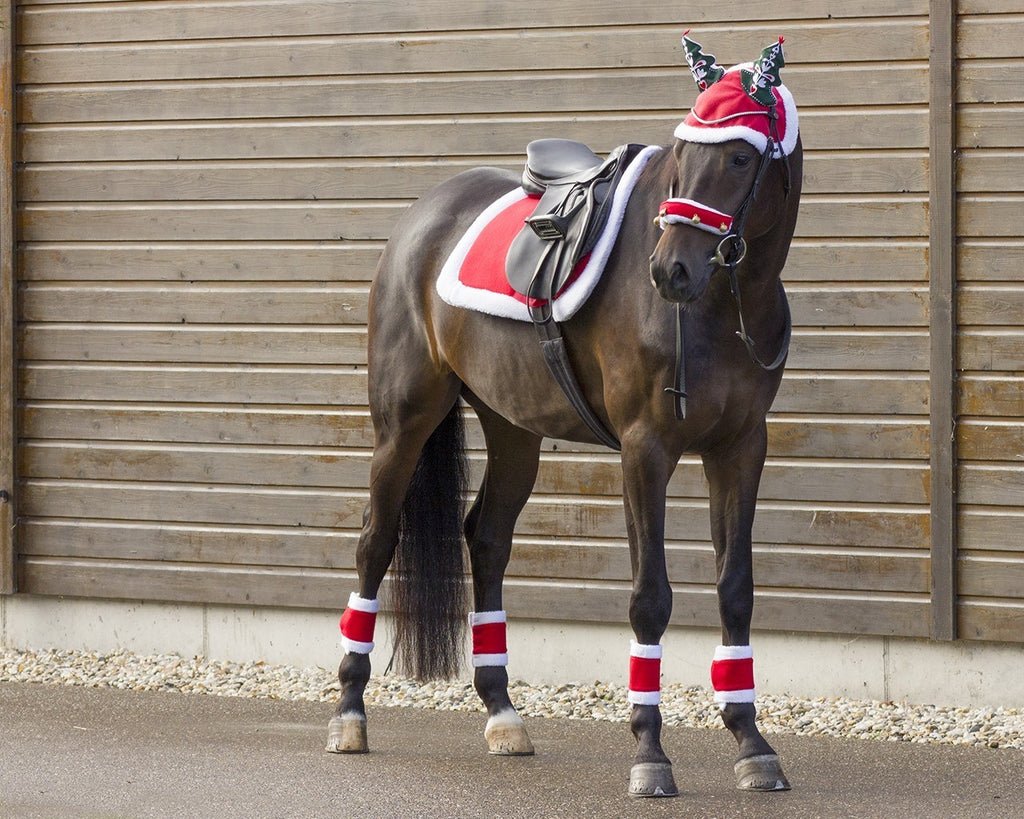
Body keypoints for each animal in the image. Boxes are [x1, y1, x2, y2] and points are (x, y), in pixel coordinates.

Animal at [327, 34, 802, 797]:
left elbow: (736, 589)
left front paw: (752, 743)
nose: (668, 271)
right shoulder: (646, 449)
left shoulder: (740, 448)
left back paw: (502, 713)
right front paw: (650, 755)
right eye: (683, 150)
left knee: (487, 537)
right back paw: (349, 713)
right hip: (403, 421)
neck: (723, 305)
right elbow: (650, 597)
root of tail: (422, 215)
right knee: (376, 541)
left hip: (513, 426)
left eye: (739, 157)